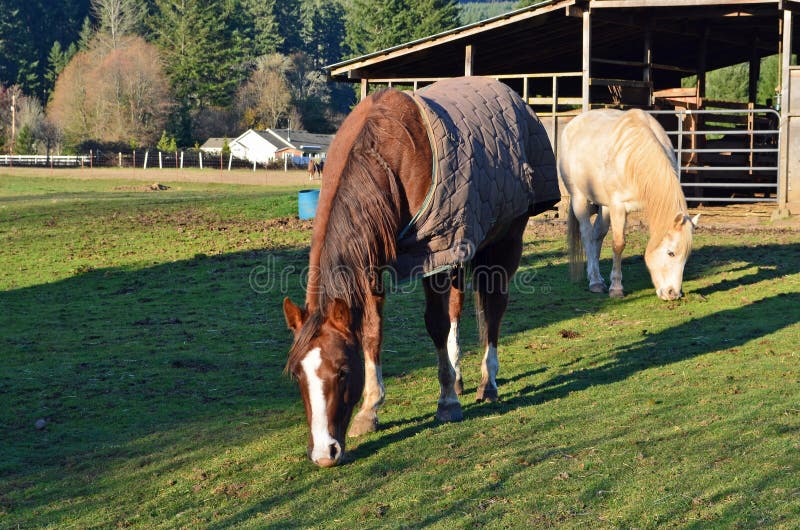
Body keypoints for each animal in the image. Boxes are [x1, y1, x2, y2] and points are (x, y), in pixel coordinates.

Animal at [284, 76, 560, 464]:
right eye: (297, 375)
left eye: (342, 371)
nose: (325, 452)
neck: (384, 153)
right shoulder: (374, 264)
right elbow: (373, 331)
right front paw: (370, 410)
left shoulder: (433, 255)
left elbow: (436, 323)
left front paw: (447, 402)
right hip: (460, 247)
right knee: (460, 306)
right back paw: (459, 376)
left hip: (504, 240)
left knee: (493, 308)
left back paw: (487, 383)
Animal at [556, 109, 700, 300]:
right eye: (671, 252)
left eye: (686, 255)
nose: (673, 293)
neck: (635, 157)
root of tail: (572, 124)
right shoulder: (618, 206)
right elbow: (618, 244)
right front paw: (616, 288)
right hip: (579, 198)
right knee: (586, 234)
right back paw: (595, 282)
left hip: (605, 206)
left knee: (597, 235)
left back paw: (597, 278)